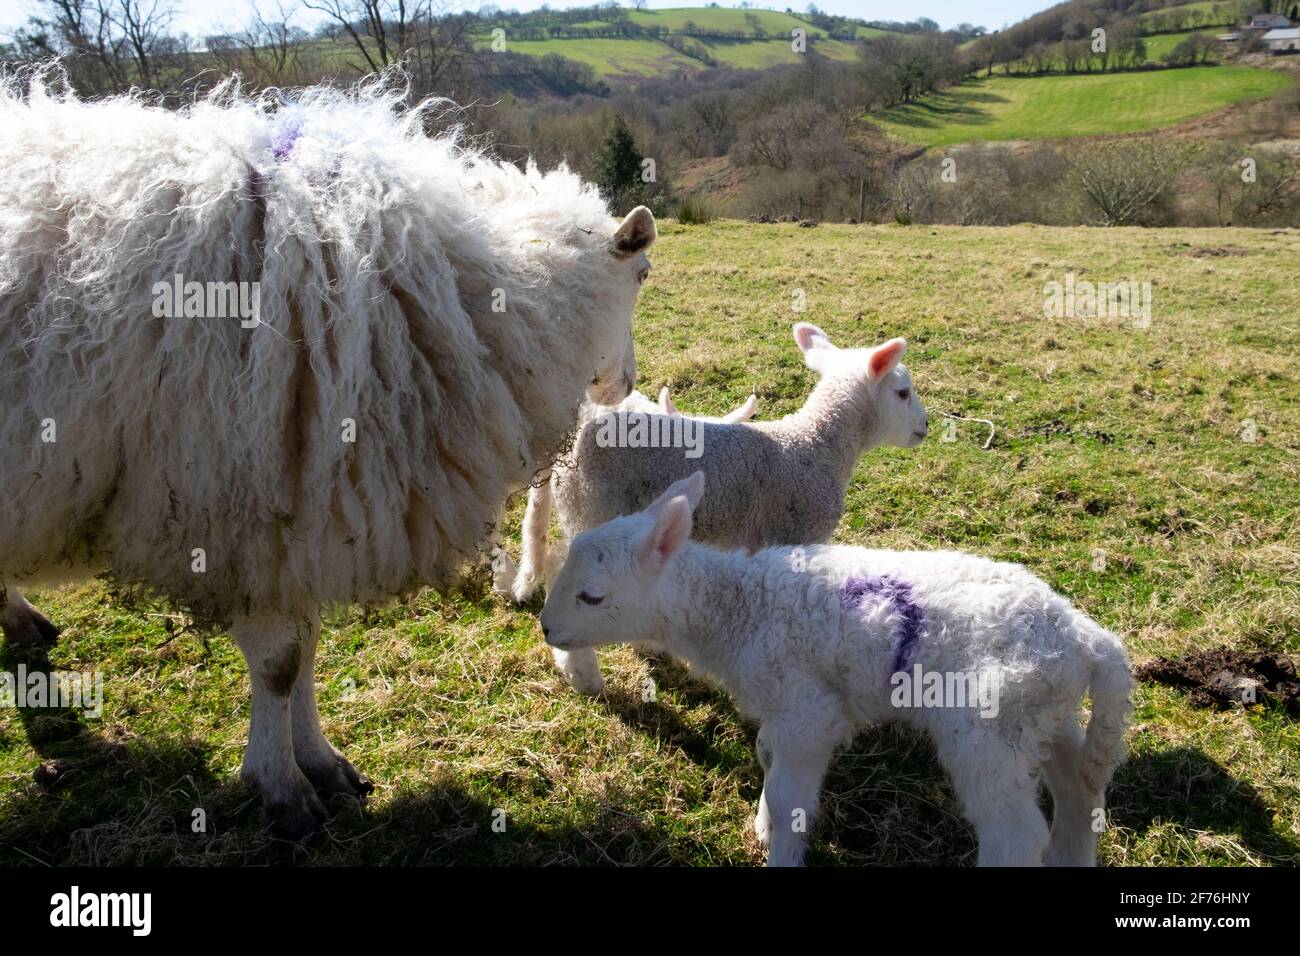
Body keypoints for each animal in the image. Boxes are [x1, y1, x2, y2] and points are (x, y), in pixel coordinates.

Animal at [0, 69, 657, 838]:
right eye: (642, 275)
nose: (626, 383)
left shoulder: (304, 516)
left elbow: (306, 646)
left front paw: (320, 762)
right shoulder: (245, 515)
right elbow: (280, 663)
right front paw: (281, 788)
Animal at [522, 323, 929, 695]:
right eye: (903, 393)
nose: (924, 427)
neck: (816, 444)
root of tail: (568, 446)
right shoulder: (800, 531)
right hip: (593, 504)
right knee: (564, 566)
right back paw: (582, 673)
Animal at [541, 472, 1133, 867]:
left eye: (592, 597)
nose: (546, 628)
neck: (737, 608)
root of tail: (1087, 638)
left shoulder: (808, 711)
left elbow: (790, 797)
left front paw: (779, 847)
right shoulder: (783, 712)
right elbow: (771, 764)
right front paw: (763, 825)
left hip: (990, 727)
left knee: (1016, 835)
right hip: (1042, 714)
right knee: (1080, 795)